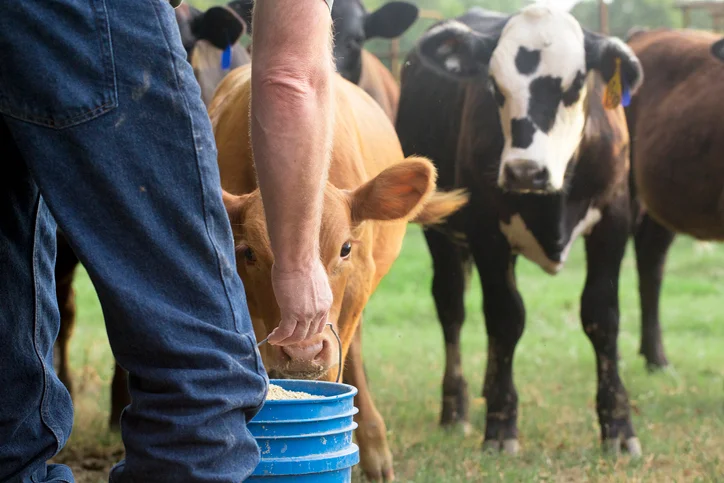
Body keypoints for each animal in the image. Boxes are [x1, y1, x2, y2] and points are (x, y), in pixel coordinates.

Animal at [395, 5, 644, 455]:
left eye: (576, 83)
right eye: (494, 85)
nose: (525, 170)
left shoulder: (614, 221)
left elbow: (602, 317)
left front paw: (618, 426)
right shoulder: (486, 232)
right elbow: (506, 318)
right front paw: (500, 425)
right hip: (440, 233)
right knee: (452, 309)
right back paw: (456, 407)